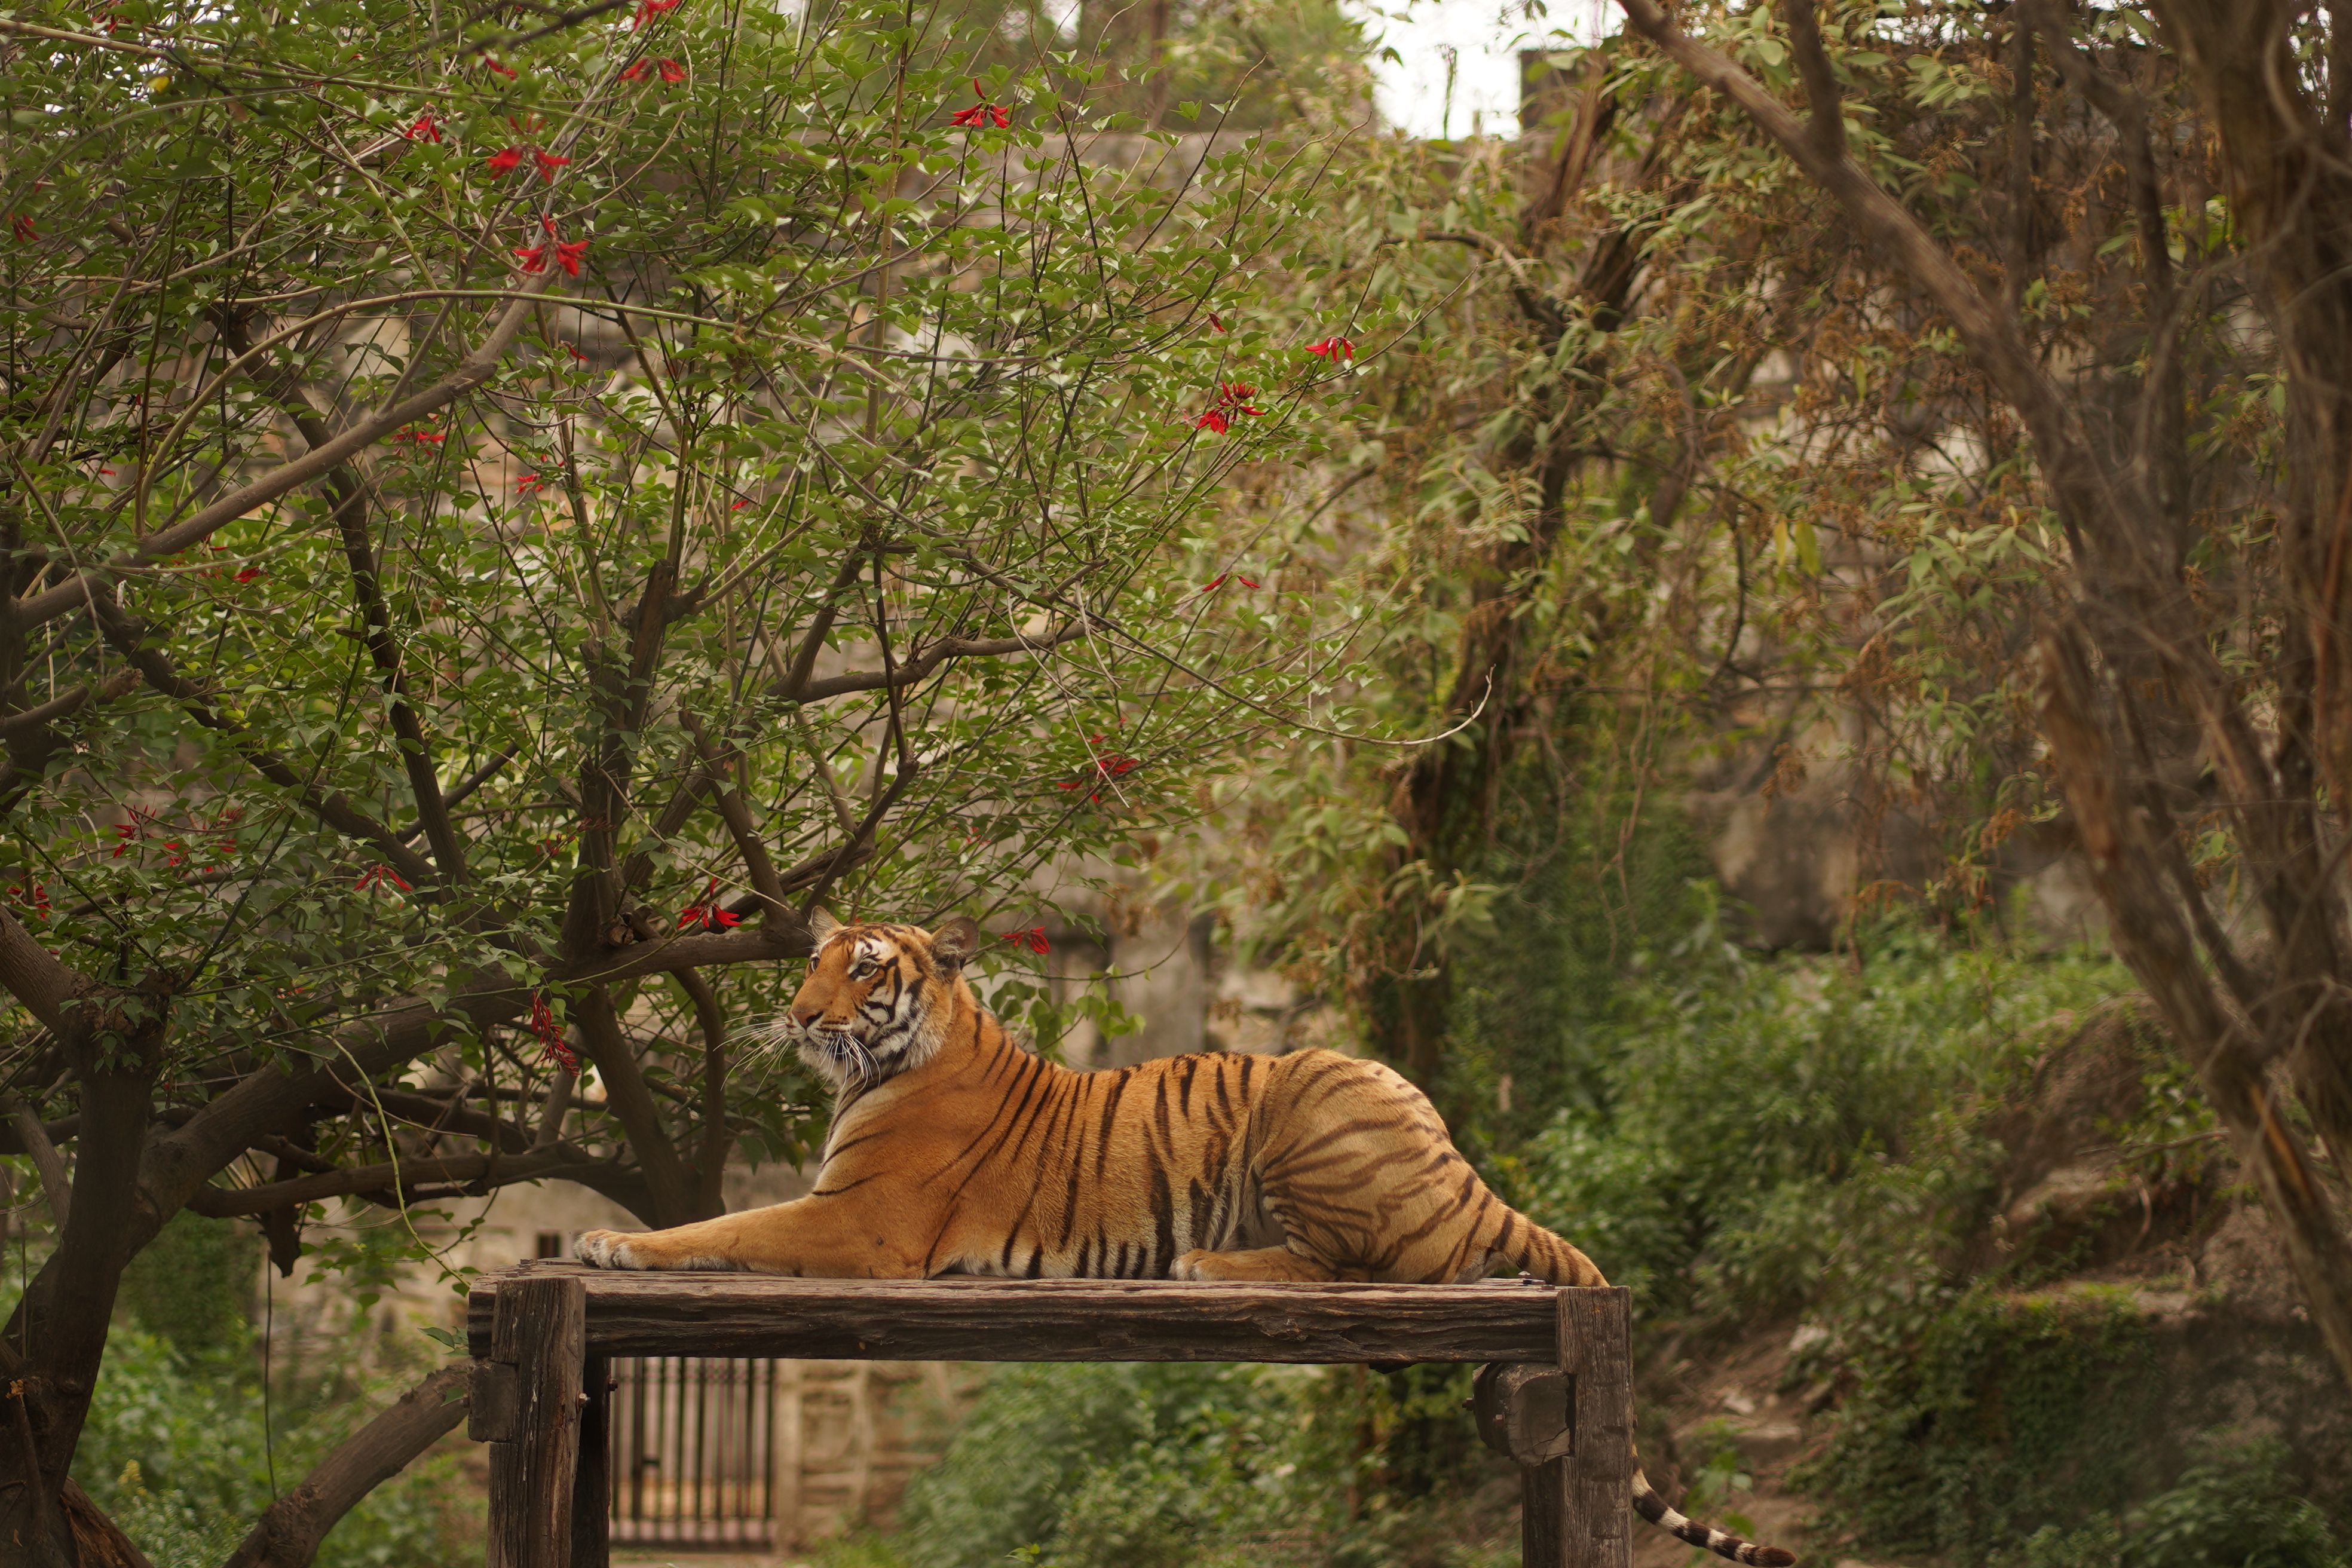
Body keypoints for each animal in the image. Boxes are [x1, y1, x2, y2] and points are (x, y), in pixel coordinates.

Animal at [576, 911, 1797, 1567]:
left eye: (865, 965)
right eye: (817, 960)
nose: (797, 1015)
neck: (899, 1057)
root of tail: (1452, 1150)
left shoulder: (860, 1219)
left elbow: (729, 1222)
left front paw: (608, 1245)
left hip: (1306, 1094)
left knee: (1357, 1265)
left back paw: (1206, 1262)